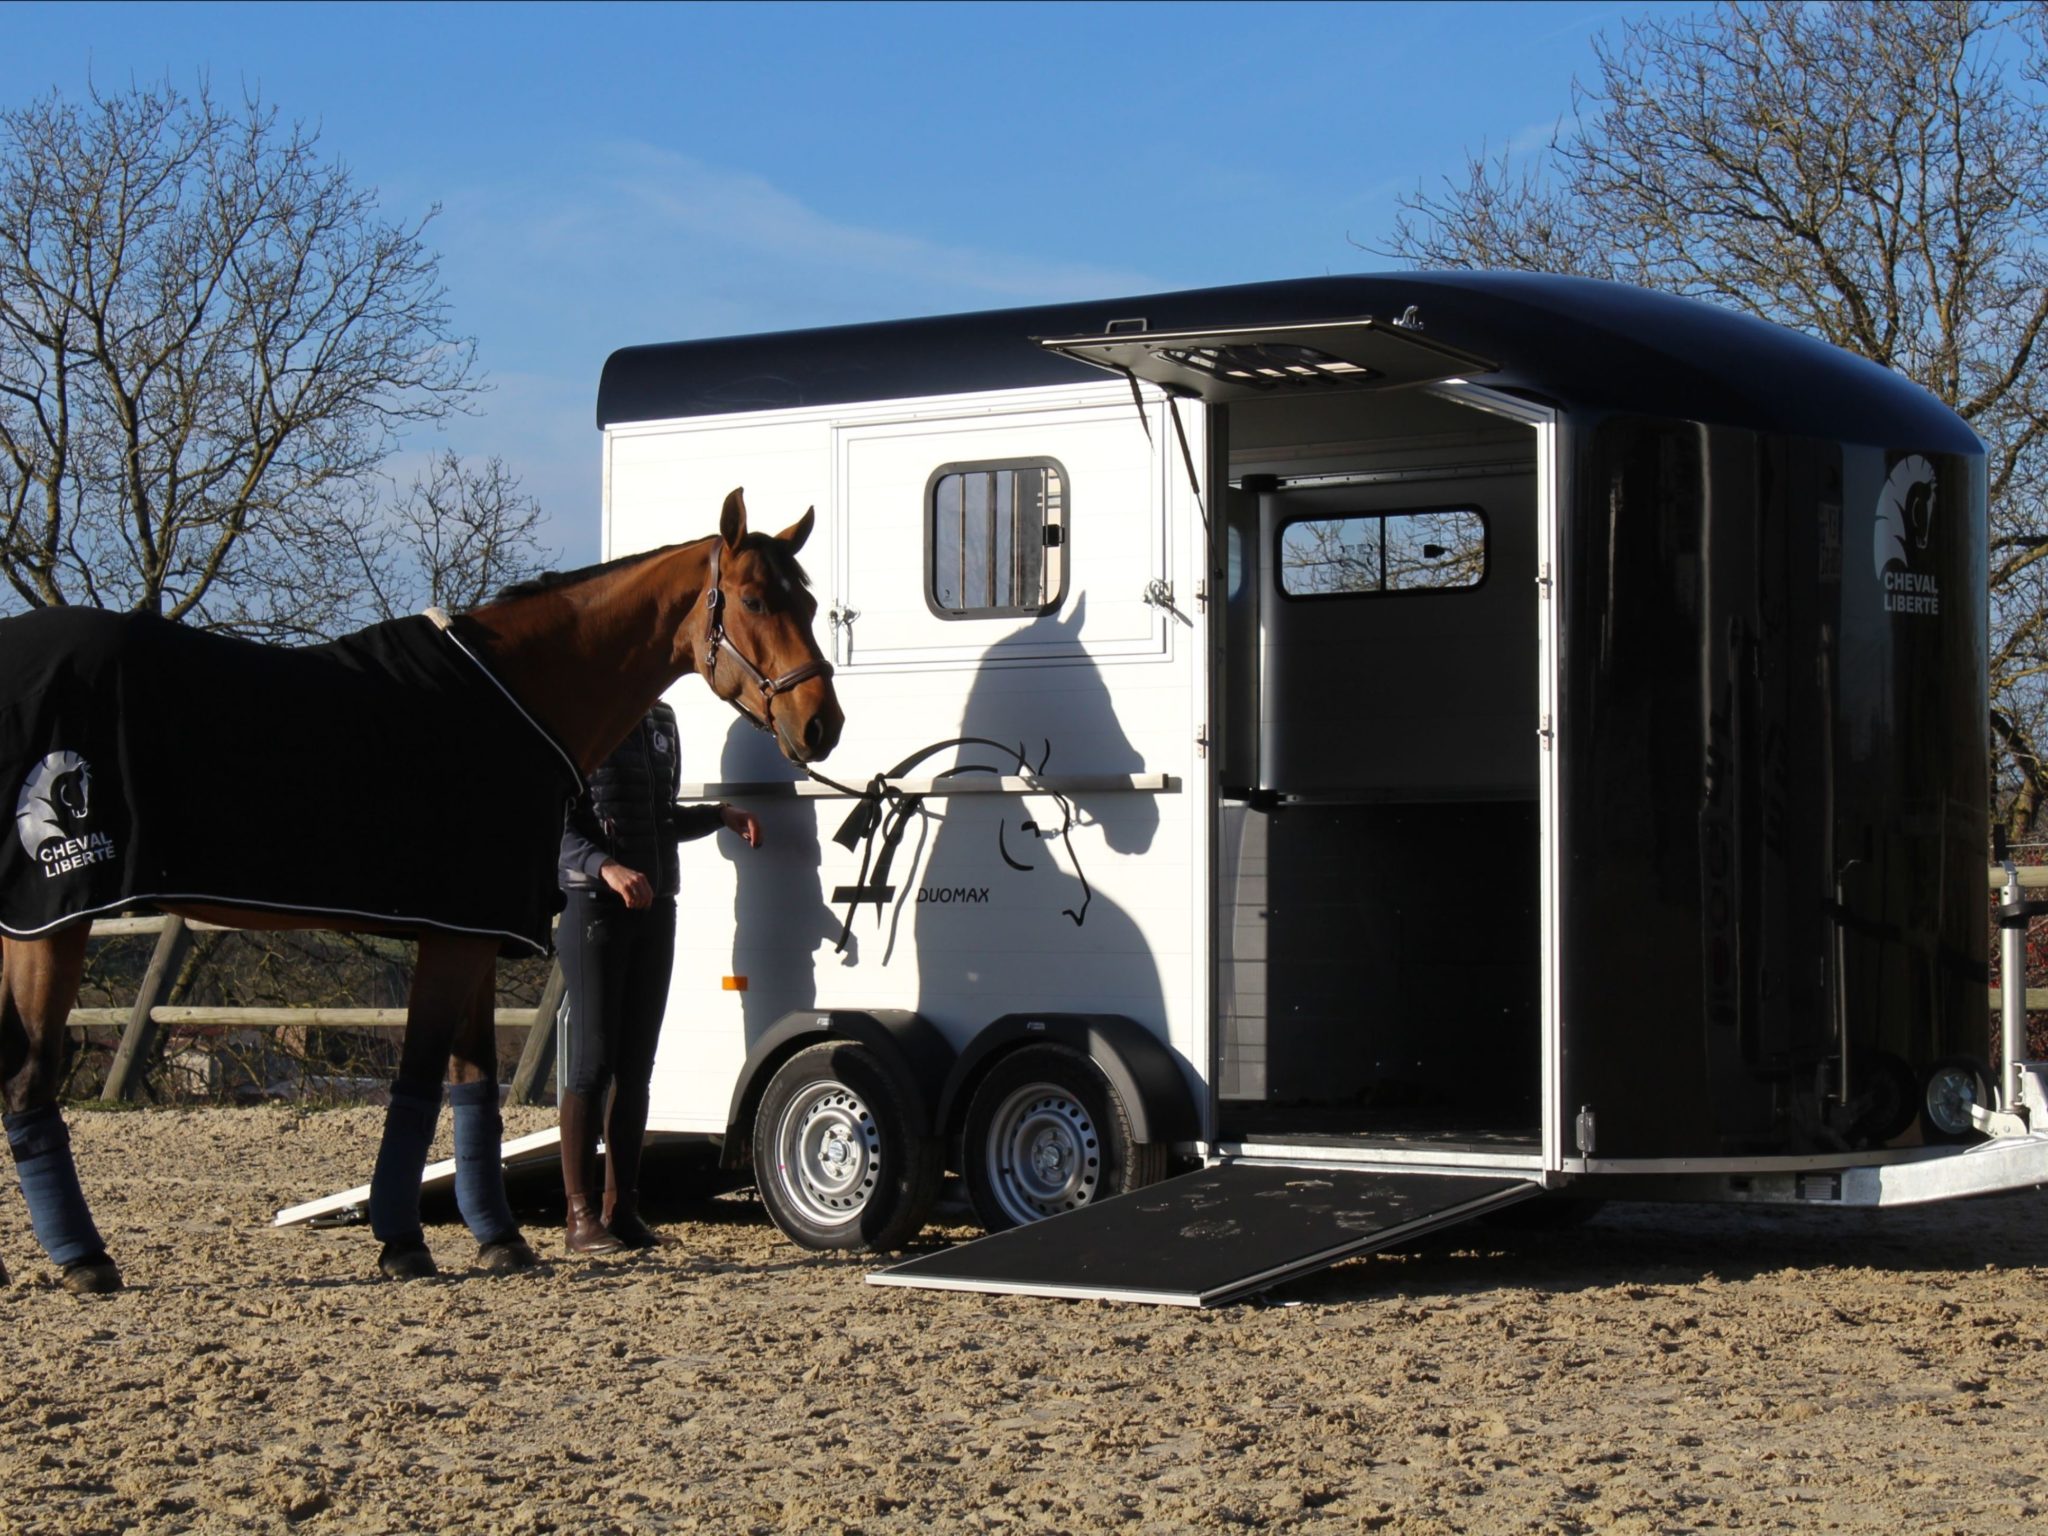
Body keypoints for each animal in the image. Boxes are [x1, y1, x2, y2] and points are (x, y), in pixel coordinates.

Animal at [0, 488, 841, 1290]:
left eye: (808, 602)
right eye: (757, 601)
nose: (821, 724)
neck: (520, 696)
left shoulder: (480, 933)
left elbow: (474, 1089)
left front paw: (499, 1240)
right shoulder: (456, 934)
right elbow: (419, 1083)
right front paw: (404, 1242)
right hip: (54, 917)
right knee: (31, 1079)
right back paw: (85, 1259)